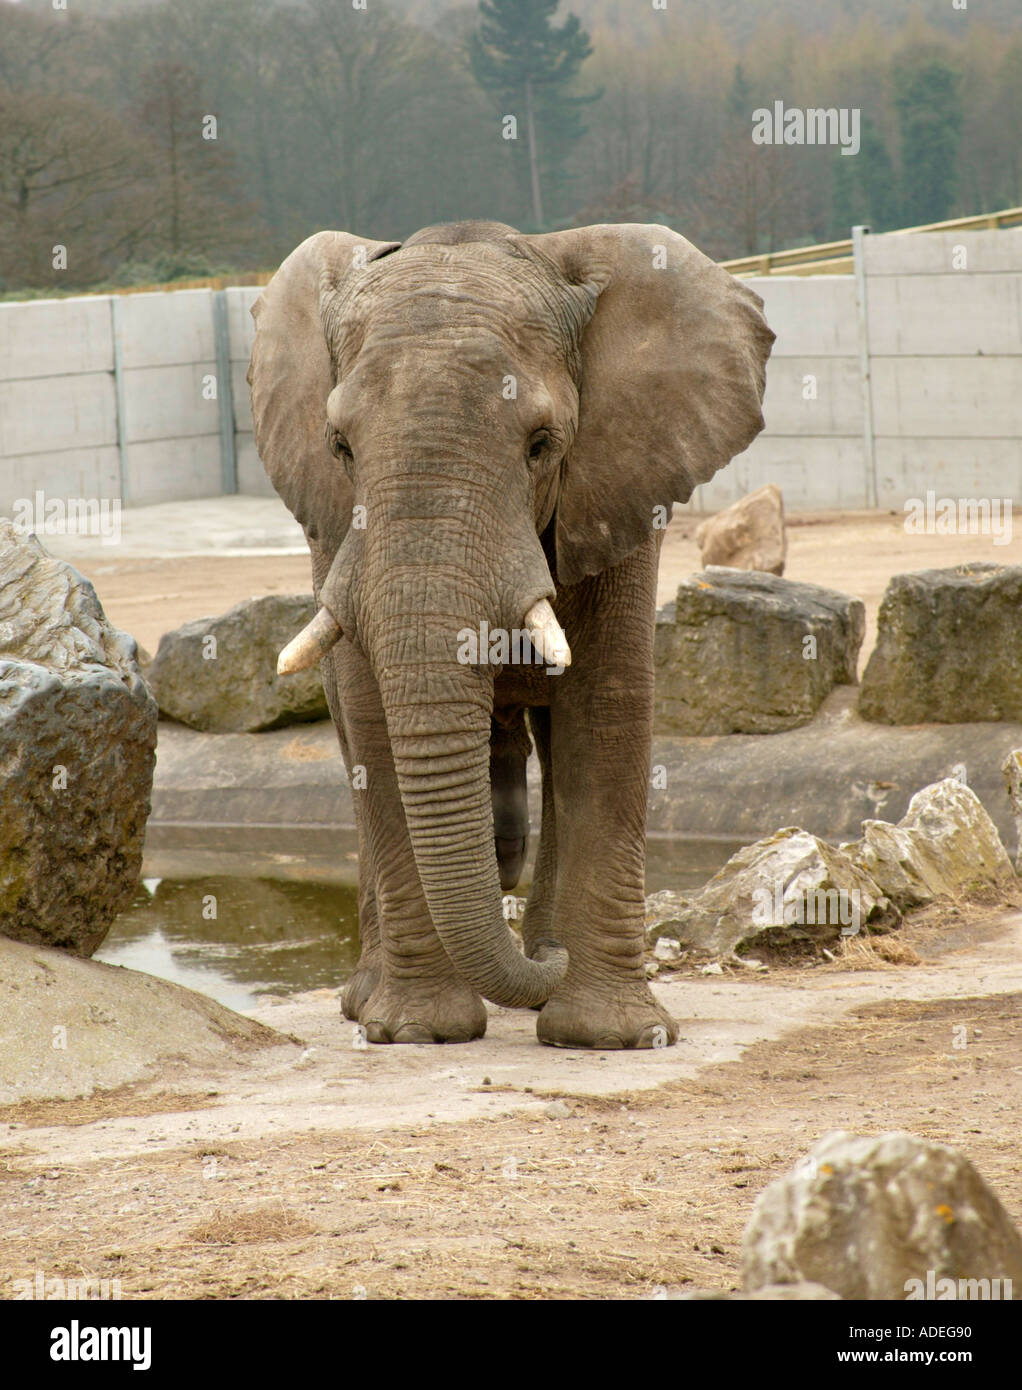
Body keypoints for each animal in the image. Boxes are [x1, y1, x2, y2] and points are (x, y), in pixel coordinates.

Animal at [248, 219, 773, 1048]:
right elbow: (371, 718)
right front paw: (416, 1031)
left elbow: (608, 702)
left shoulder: (618, 491)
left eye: (542, 444)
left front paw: (608, 1036)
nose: (546, 966)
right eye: (340, 447)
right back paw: (371, 998)